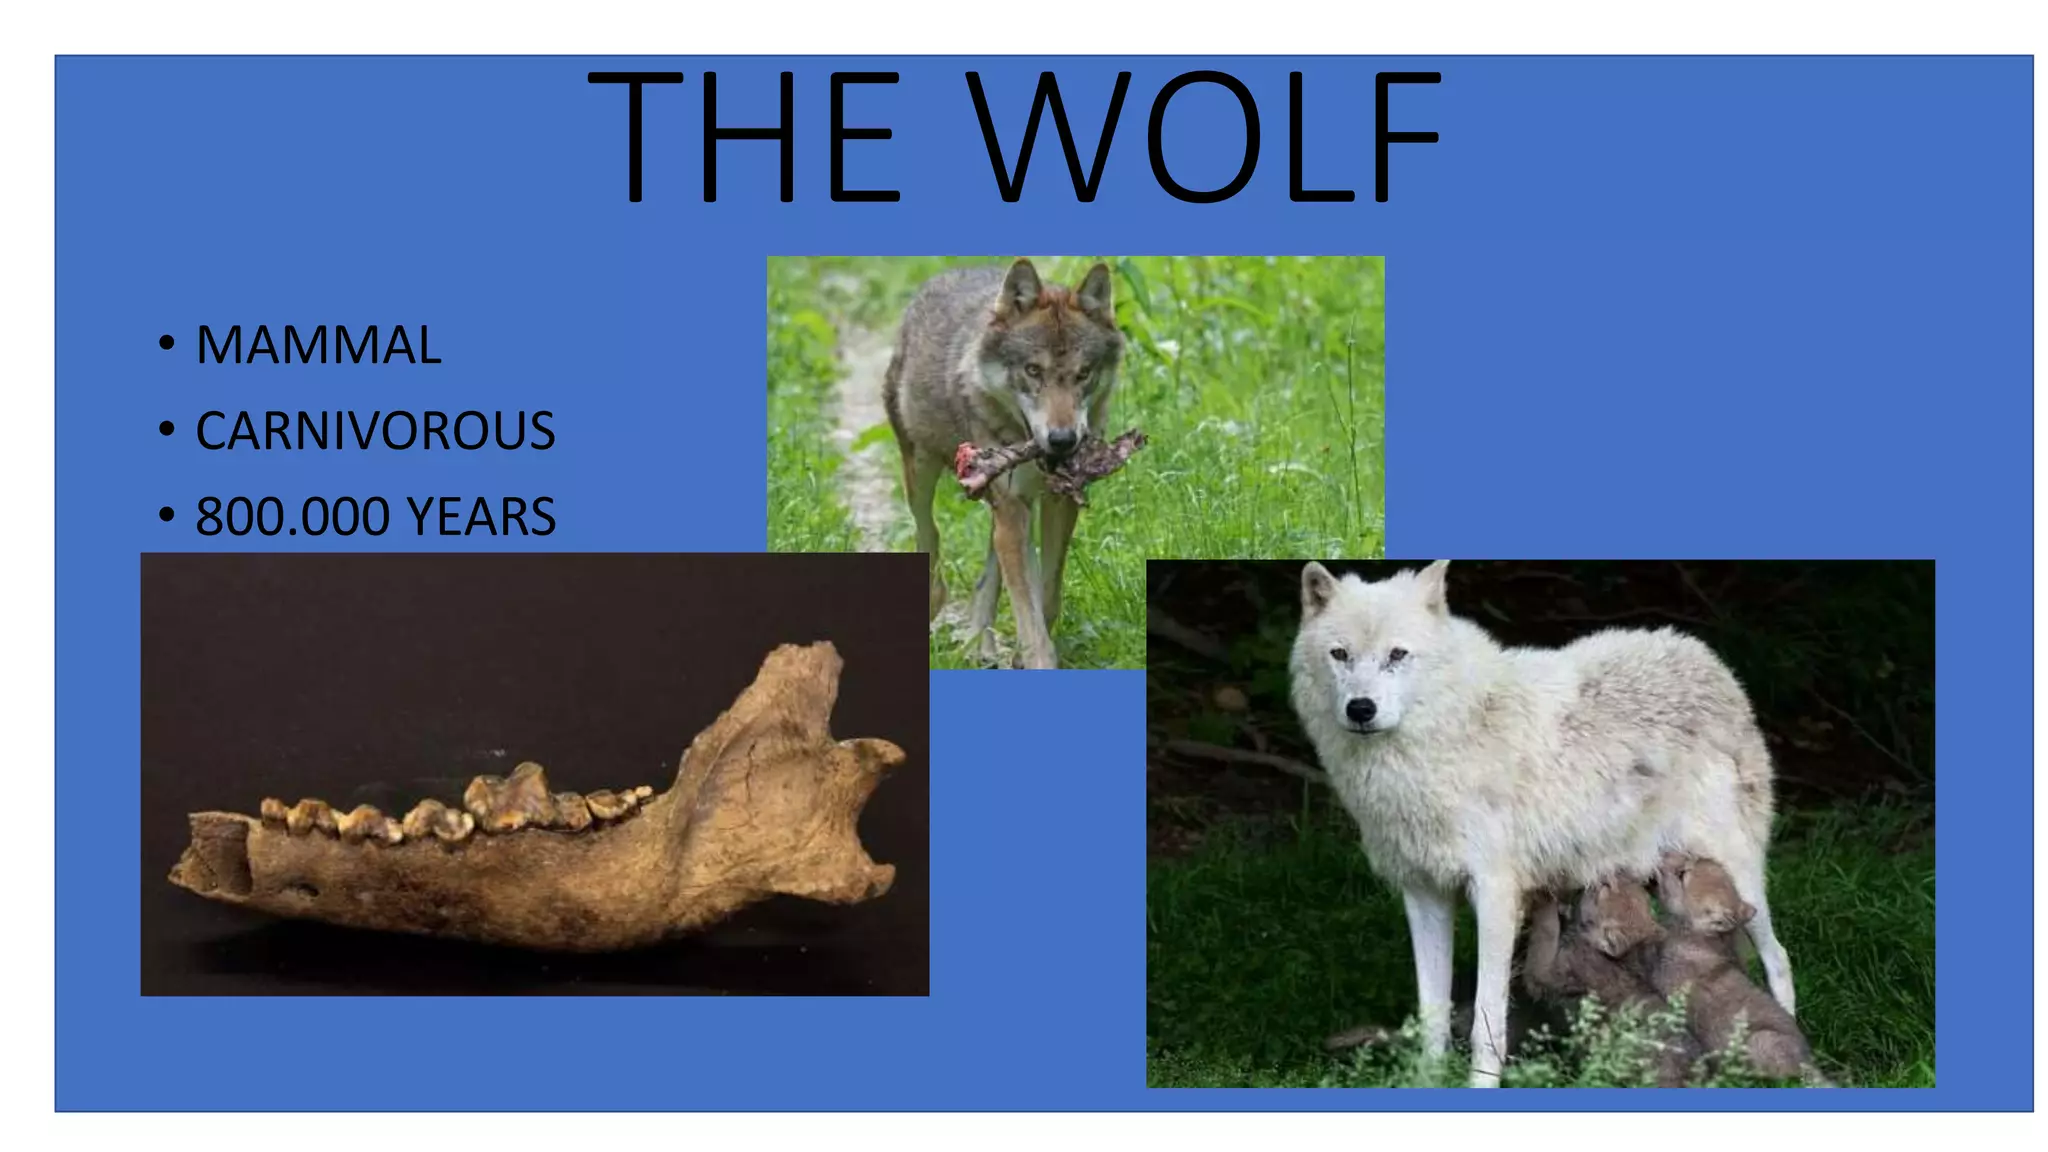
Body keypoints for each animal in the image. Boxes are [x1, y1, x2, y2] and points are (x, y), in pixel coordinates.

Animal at [882, 258, 1125, 669]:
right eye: (1033, 371)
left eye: (1083, 374)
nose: (1062, 440)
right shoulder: (1012, 505)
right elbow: (1027, 608)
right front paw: (1038, 660)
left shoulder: (1057, 502)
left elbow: (1046, 593)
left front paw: (1024, 657)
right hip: (921, 470)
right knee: (928, 530)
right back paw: (938, 603)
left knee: (989, 570)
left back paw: (980, 645)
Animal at [1288, 560, 1794, 1086]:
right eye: (1340, 655)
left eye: (1397, 655)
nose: (1360, 709)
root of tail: (1708, 661)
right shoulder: (1424, 894)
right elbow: (1431, 1017)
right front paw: (1426, 1080)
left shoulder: (1494, 896)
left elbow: (1486, 1023)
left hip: (1738, 878)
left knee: (1779, 960)